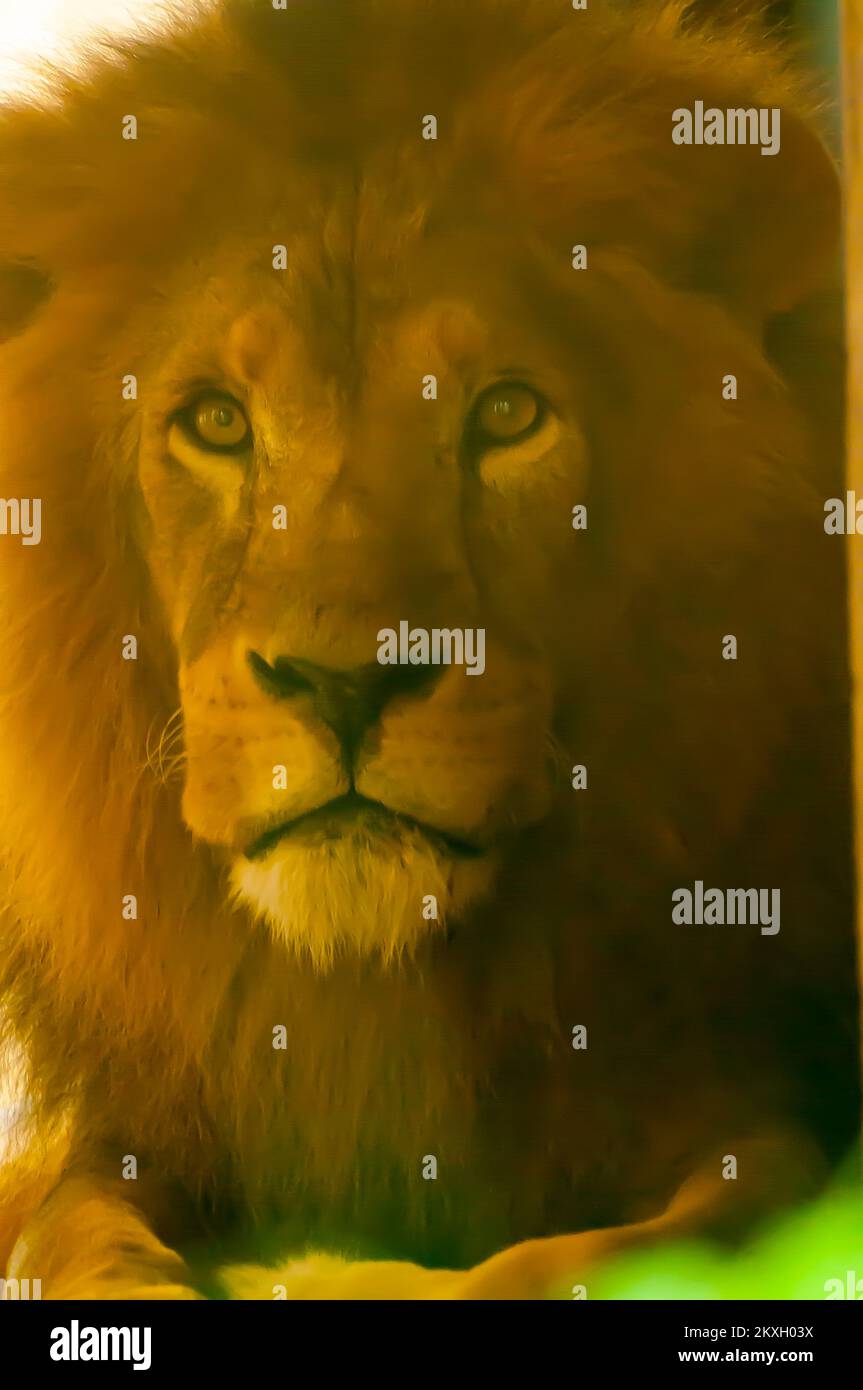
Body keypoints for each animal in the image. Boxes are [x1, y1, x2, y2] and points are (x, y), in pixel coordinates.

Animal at [0, 0, 857, 1300]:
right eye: (215, 422)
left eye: (505, 414)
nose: (343, 684)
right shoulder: (125, 1122)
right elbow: (70, 1229)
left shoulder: (746, 1107)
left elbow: (603, 1248)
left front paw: (325, 1274)